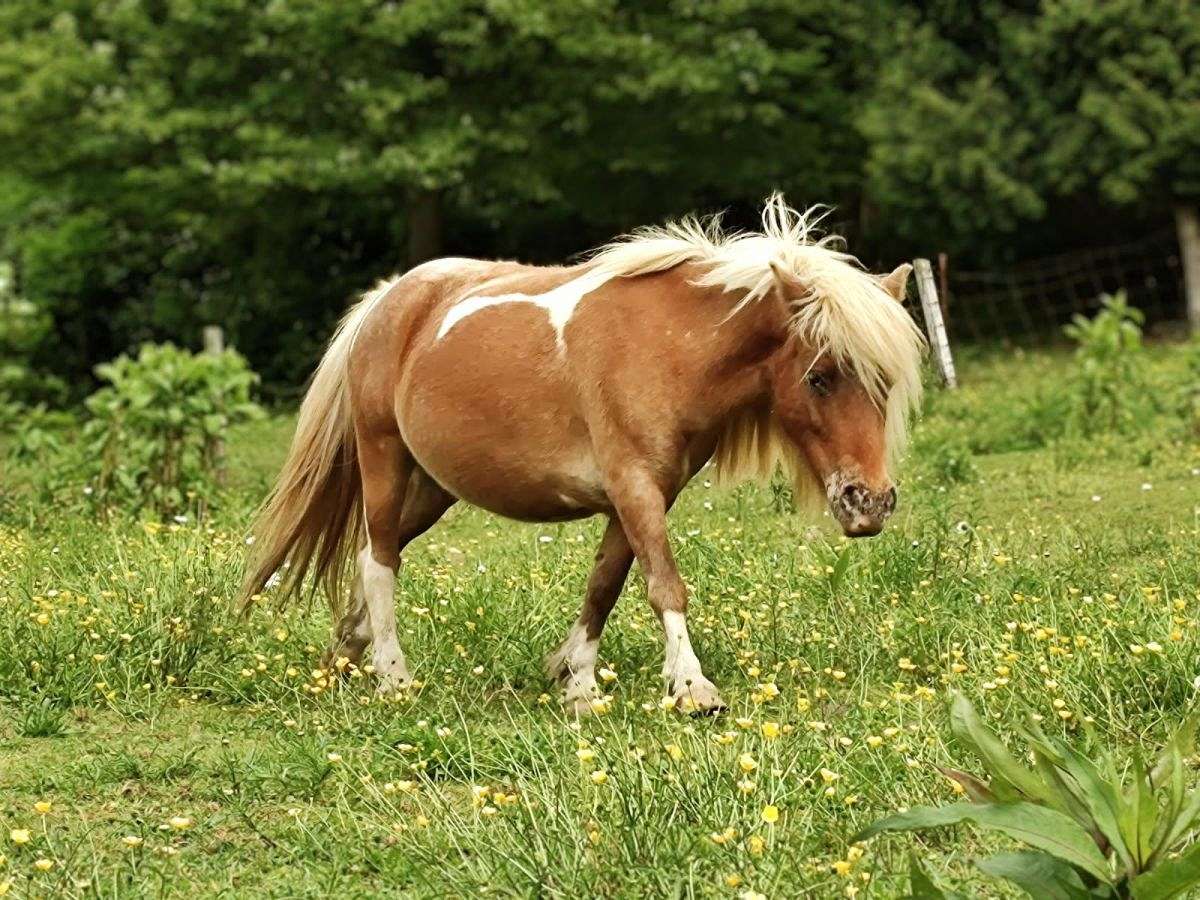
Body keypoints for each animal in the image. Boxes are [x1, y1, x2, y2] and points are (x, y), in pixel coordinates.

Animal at [240, 195, 925, 714]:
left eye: (885, 382)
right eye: (819, 377)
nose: (870, 503)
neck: (672, 349)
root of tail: (388, 299)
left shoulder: (644, 494)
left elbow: (605, 585)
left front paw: (577, 681)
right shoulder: (634, 486)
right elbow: (664, 584)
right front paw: (691, 687)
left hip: (435, 487)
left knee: (372, 554)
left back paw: (346, 651)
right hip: (384, 457)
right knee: (380, 558)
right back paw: (392, 676)